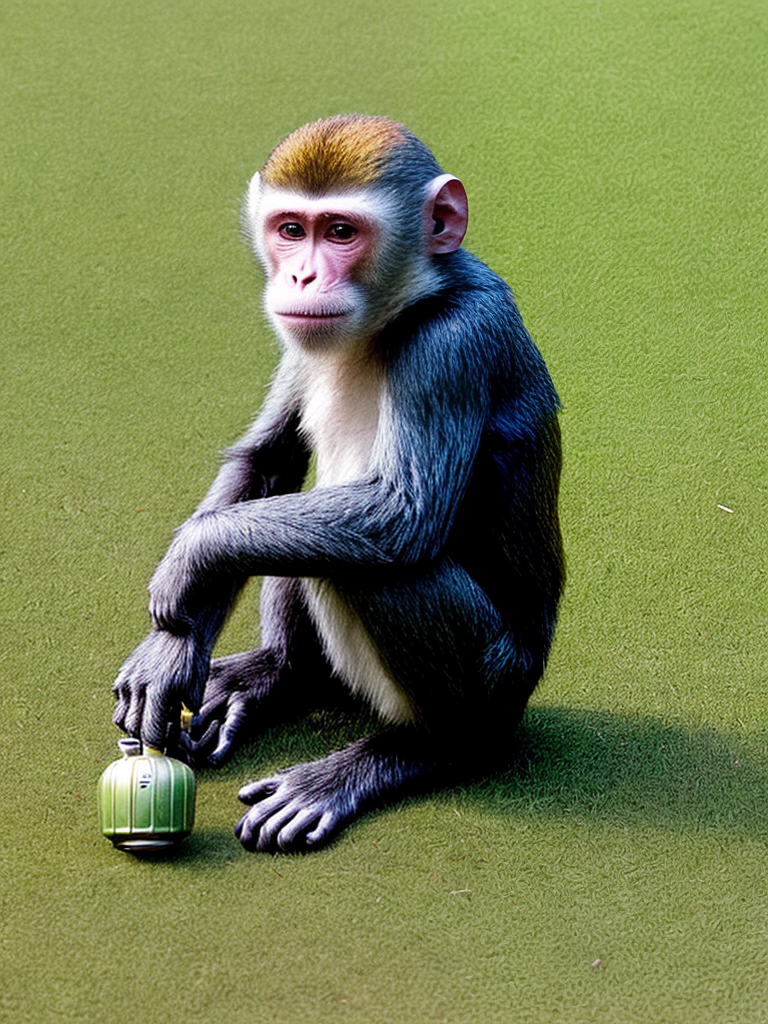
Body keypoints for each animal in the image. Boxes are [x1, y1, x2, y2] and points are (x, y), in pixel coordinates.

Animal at [112, 114, 565, 853]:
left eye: (342, 232)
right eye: (292, 229)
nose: (300, 275)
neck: (402, 309)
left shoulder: (453, 342)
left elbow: (402, 515)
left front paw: (187, 564)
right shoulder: (296, 337)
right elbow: (265, 462)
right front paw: (171, 649)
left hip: (500, 683)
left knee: (382, 567)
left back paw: (423, 750)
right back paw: (278, 673)